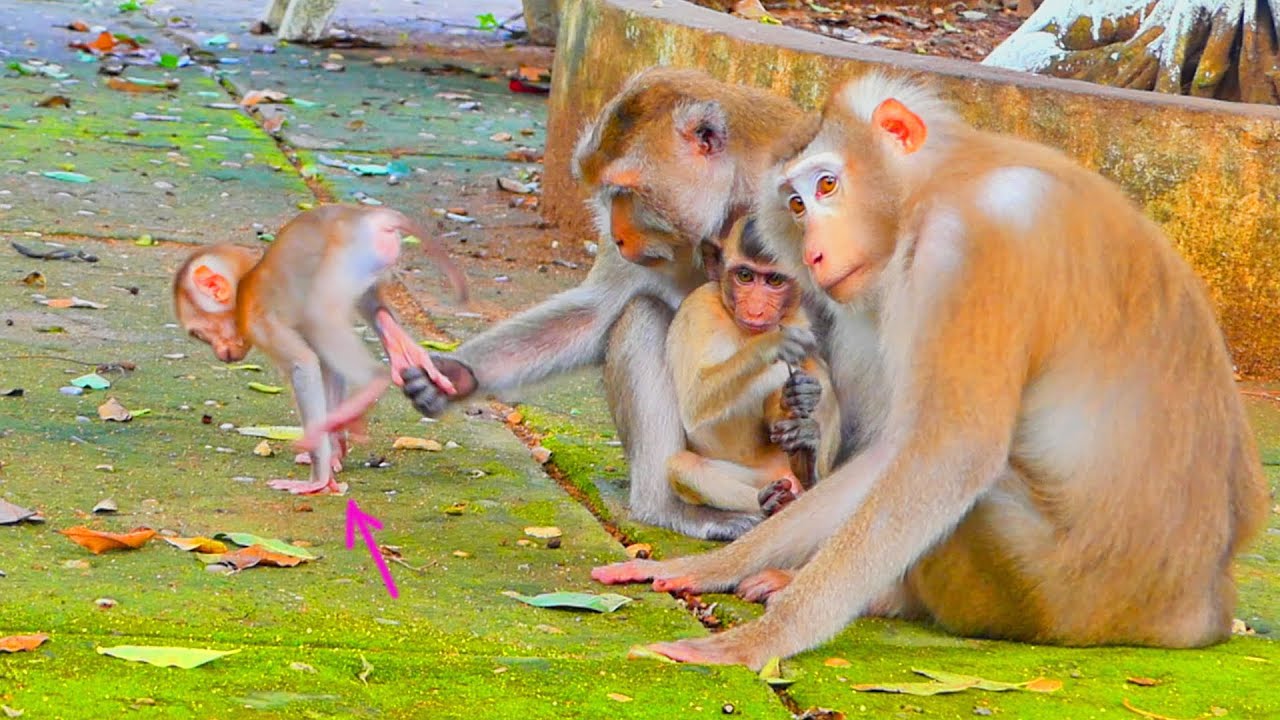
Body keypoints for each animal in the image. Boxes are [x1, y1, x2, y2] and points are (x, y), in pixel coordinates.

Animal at [174, 204, 467, 495]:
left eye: (199, 334)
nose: (220, 353)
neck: (244, 284)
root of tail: (367, 216)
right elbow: (328, 368)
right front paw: (335, 449)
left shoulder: (259, 322)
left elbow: (304, 363)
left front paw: (320, 477)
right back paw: (397, 343)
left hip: (349, 256)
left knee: (319, 315)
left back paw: (373, 383)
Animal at [399, 67, 813, 540]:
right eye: (606, 193)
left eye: (625, 191)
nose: (616, 235)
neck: (736, 197)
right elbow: (598, 313)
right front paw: (452, 375)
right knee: (642, 316)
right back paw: (668, 507)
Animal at [664, 216, 840, 519]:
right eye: (744, 276)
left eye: (774, 280)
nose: (756, 310)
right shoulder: (699, 310)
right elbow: (695, 402)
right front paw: (771, 343)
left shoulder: (798, 317)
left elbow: (811, 376)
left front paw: (802, 394)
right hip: (753, 476)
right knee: (683, 467)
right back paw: (772, 502)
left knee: (822, 382)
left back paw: (809, 466)